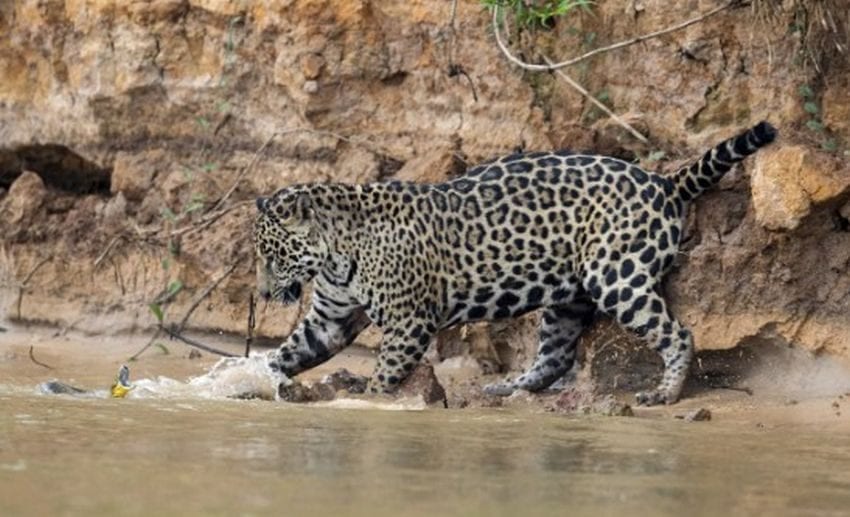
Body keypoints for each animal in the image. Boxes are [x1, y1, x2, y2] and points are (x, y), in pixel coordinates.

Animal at [254, 121, 777, 405]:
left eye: (272, 257)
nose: (260, 293)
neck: (335, 251)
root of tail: (663, 182)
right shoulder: (332, 317)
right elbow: (293, 350)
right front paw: (265, 376)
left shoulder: (409, 321)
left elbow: (384, 374)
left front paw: (368, 398)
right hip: (569, 297)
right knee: (556, 355)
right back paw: (510, 389)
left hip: (618, 278)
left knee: (677, 333)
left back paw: (664, 393)